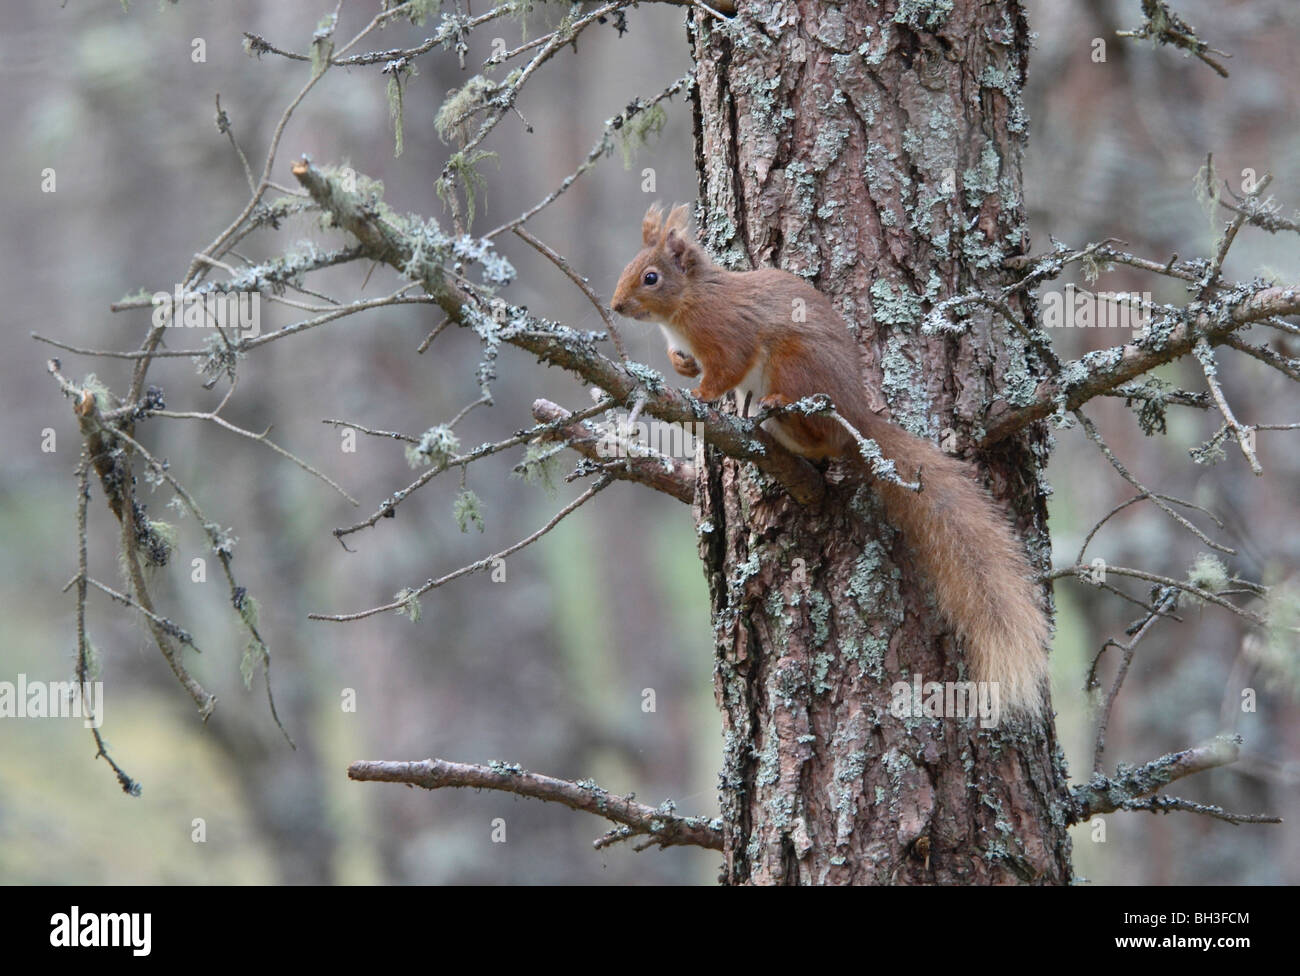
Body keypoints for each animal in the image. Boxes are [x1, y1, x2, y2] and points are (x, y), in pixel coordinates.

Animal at [611, 204, 1050, 718]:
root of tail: (855, 415)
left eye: (651, 277)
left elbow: (727, 369)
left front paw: (698, 395)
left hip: (795, 362)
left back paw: (777, 409)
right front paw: (680, 364)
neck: (692, 300)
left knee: (816, 431)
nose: (616, 306)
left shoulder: (726, 331)